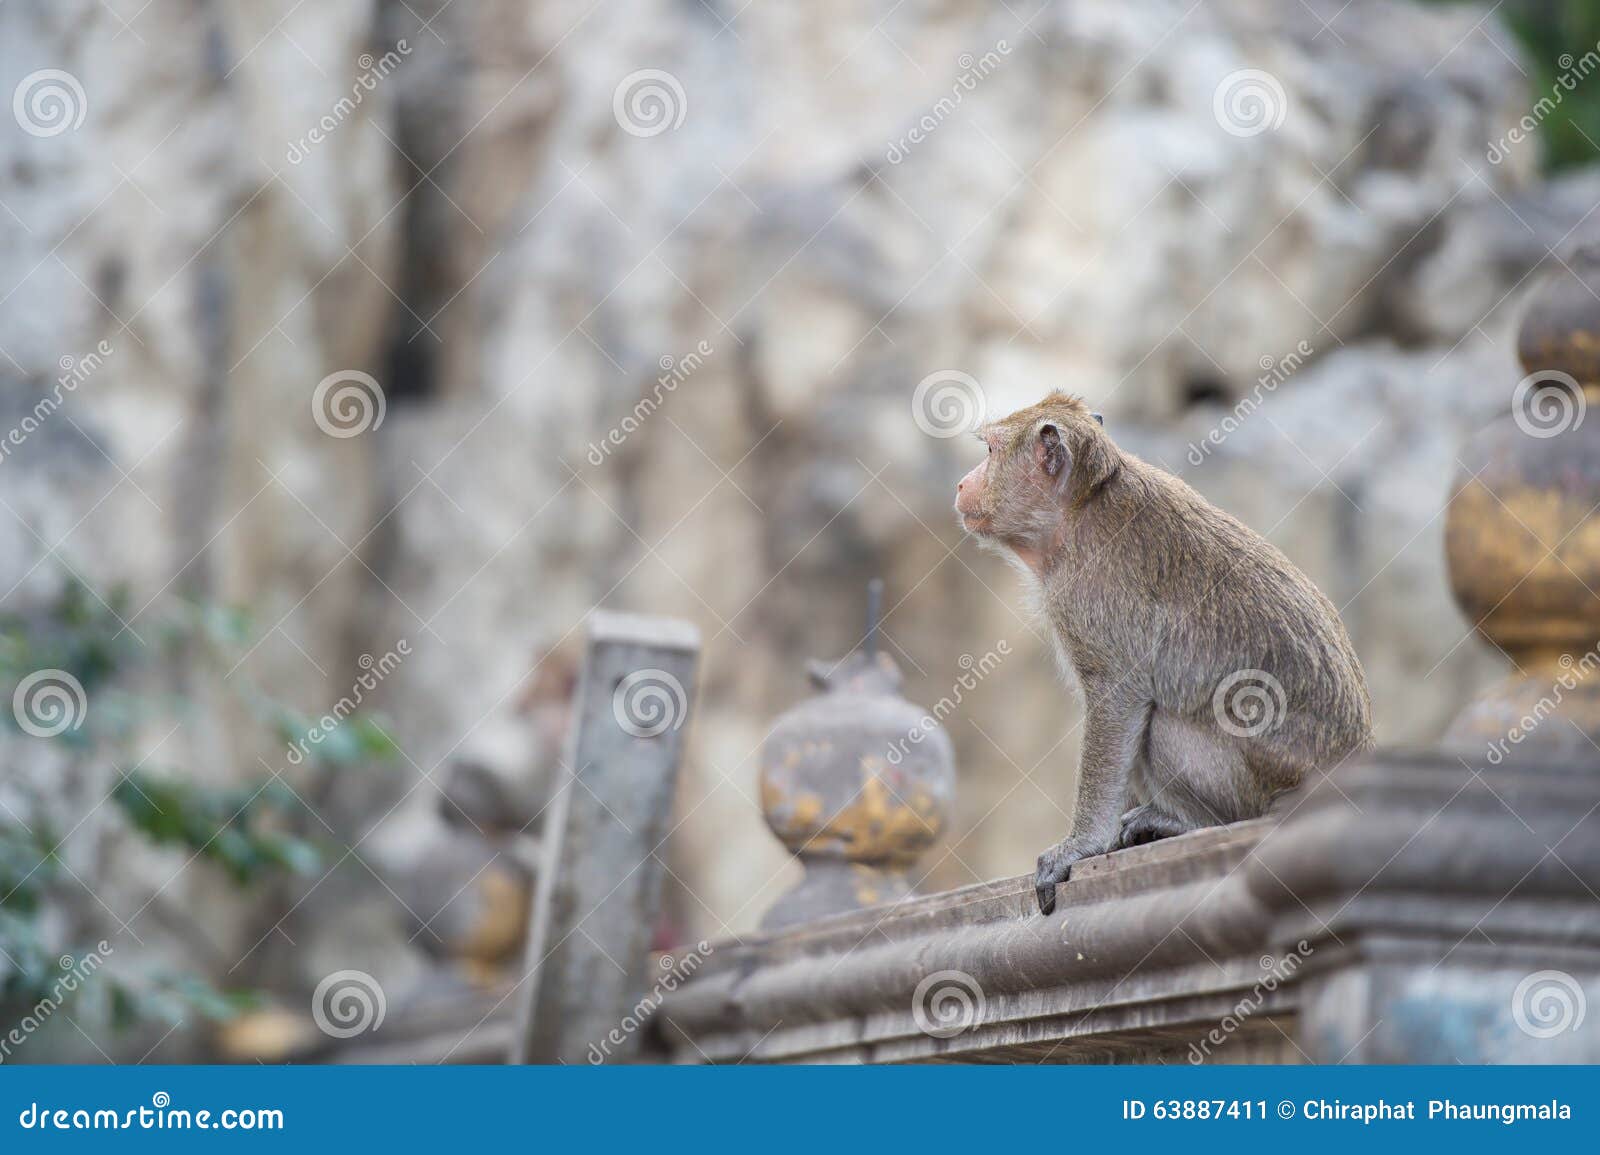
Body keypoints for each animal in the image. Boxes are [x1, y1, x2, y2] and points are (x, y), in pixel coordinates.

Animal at [954, 392, 1373, 914]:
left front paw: (1082, 846)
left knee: (1163, 725)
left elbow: (1118, 700)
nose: (962, 482)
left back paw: (1193, 823)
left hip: (1254, 785)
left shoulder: (1088, 598)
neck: (1080, 508)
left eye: (990, 451)